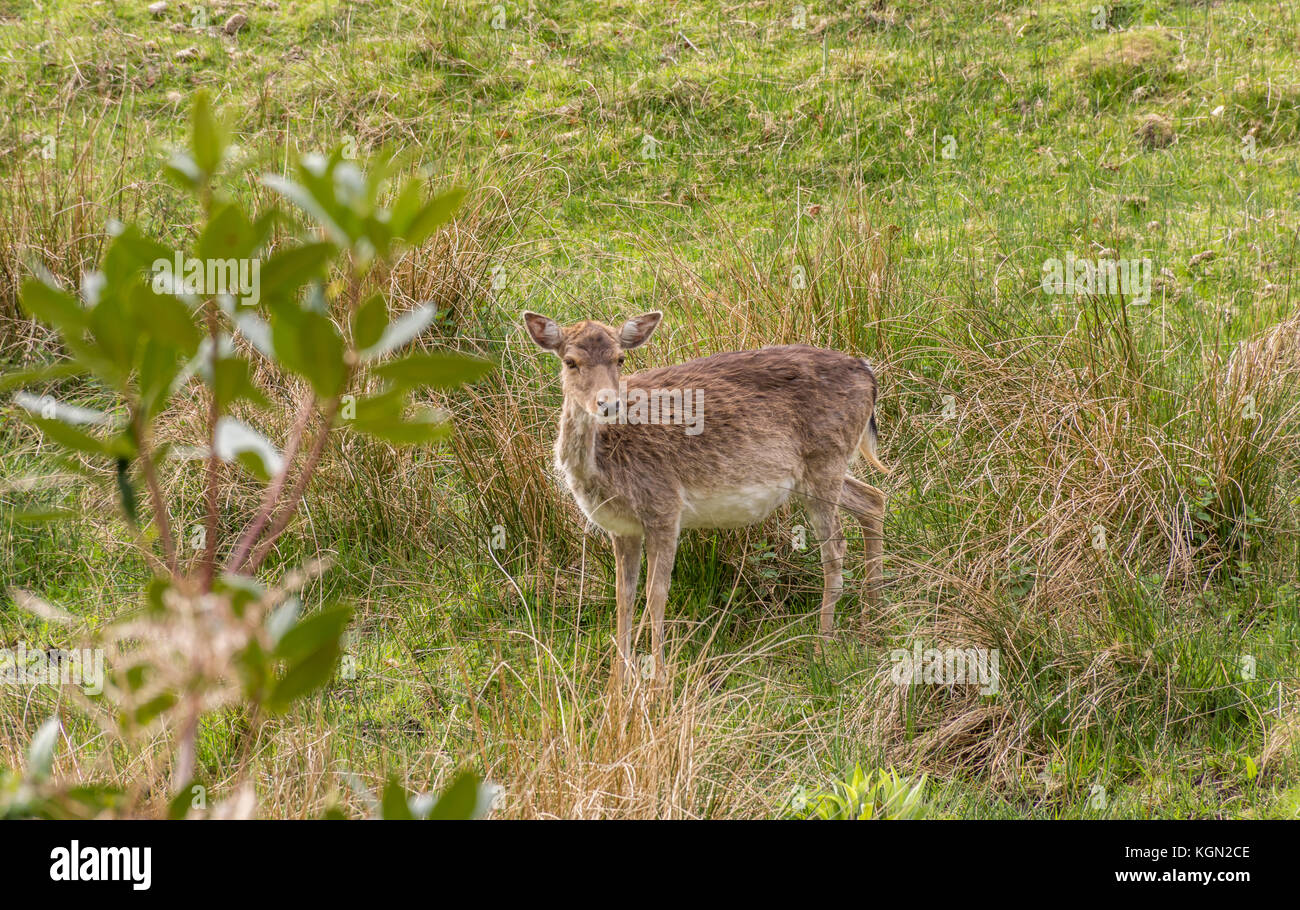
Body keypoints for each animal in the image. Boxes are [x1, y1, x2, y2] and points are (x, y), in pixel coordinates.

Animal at [523, 310, 889, 686]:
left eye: (619, 358)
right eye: (570, 361)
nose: (609, 403)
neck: (604, 468)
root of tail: (868, 371)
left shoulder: (664, 506)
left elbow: (656, 593)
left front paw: (659, 679)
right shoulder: (621, 527)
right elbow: (624, 595)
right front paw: (619, 682)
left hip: (826, 459)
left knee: (836, 547)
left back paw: (823, 647)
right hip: (817, 472)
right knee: (874, 498)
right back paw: (873, 617)